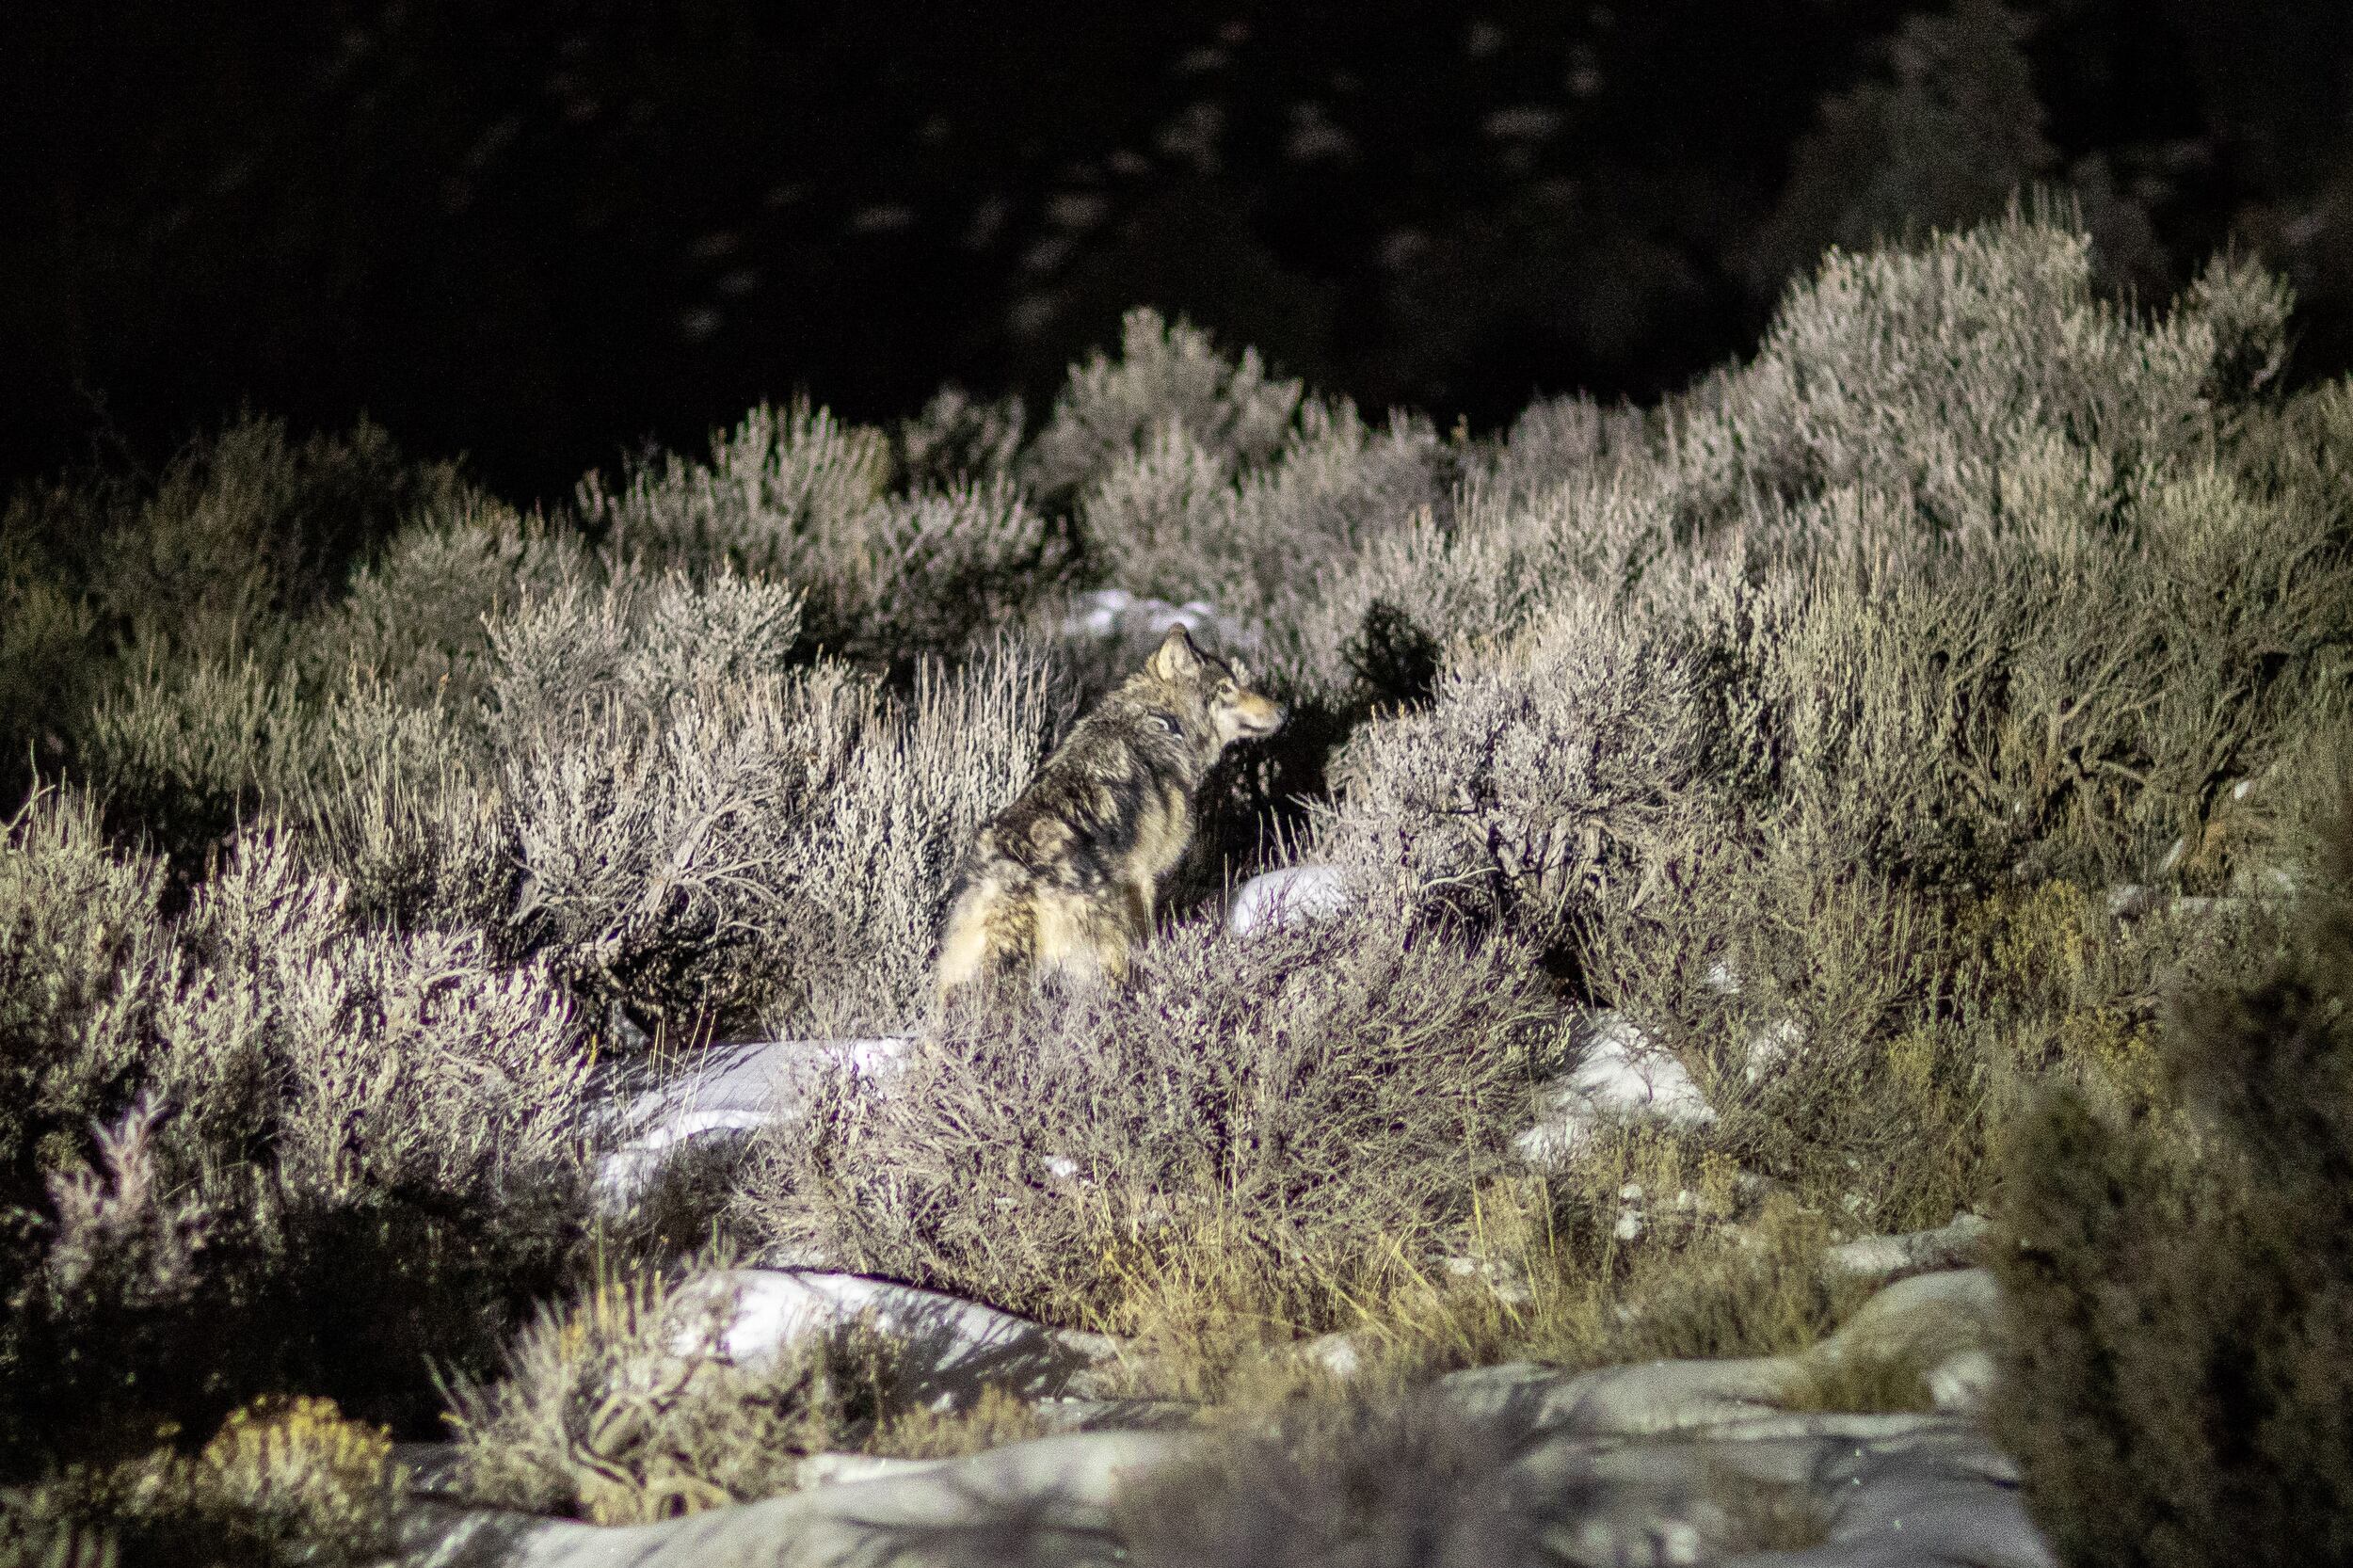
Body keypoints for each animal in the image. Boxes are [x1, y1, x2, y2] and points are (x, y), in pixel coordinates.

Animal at [935, 624, 1285, 1001]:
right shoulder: (1144, 878)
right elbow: (1149, 939)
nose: (1284, 711)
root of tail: (1010, 876)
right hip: (1106, 942)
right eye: (1226, 689)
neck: (1161, 722)